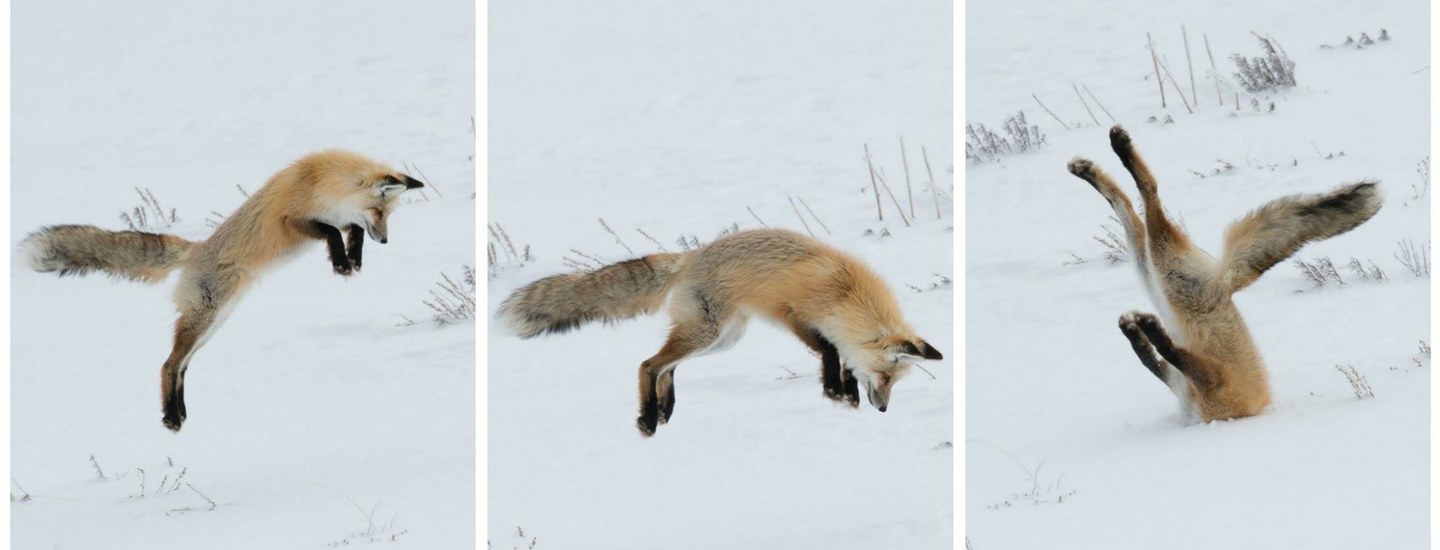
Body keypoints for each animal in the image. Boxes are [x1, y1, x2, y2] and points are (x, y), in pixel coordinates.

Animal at [22, 150, 425, 432]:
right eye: (380, 211)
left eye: (389, 215)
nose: (386, 240)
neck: (326, 182)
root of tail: (196, 249)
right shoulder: (293, 220)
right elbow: (329, 231)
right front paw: (342, 262)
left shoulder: (342, 218)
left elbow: (350, 231)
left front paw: (352, 261)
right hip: (205, 316)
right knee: (168, 364)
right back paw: (171, 418)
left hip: (215, 322)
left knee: (182, 365)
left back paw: (180, 413)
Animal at [497, 228, 945, 436]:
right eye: (886, 377)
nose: (883, 410)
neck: (848, 295)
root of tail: (690, 255)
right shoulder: (795, 315)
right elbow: (829, 354)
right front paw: (837, 393)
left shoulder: (831, 331)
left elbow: (842, 361)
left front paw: (845, 395)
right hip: (709, 332)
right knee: (648, 364)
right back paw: (648, 418)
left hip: (721, 339)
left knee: (667, 366)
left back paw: (664, 409)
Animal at [1067, 125, 1381, 422]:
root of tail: (1225, 283)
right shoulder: (1185, 382)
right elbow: (1151, 358)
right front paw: (1136, 331)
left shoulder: (1211, 383)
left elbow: (1167, 353)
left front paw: (1147, 329)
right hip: (1153, 272)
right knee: (1126, 204)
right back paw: (1089, 168)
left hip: (1165, 272)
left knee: (1149, 194)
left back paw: (1119, 149)